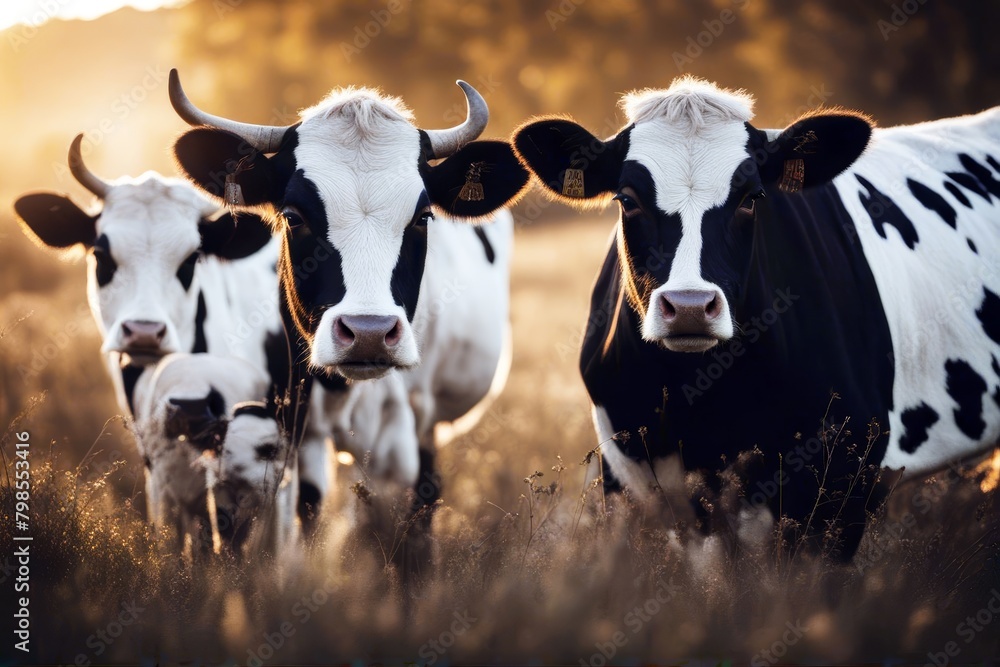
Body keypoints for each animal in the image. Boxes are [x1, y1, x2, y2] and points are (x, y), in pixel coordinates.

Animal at [168, 69, 530, 574]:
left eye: (423, 217)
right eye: (293, 216)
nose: (368, 333)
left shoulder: (404, 427)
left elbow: (402, 522)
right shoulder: (300, 423)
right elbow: (309, 509)